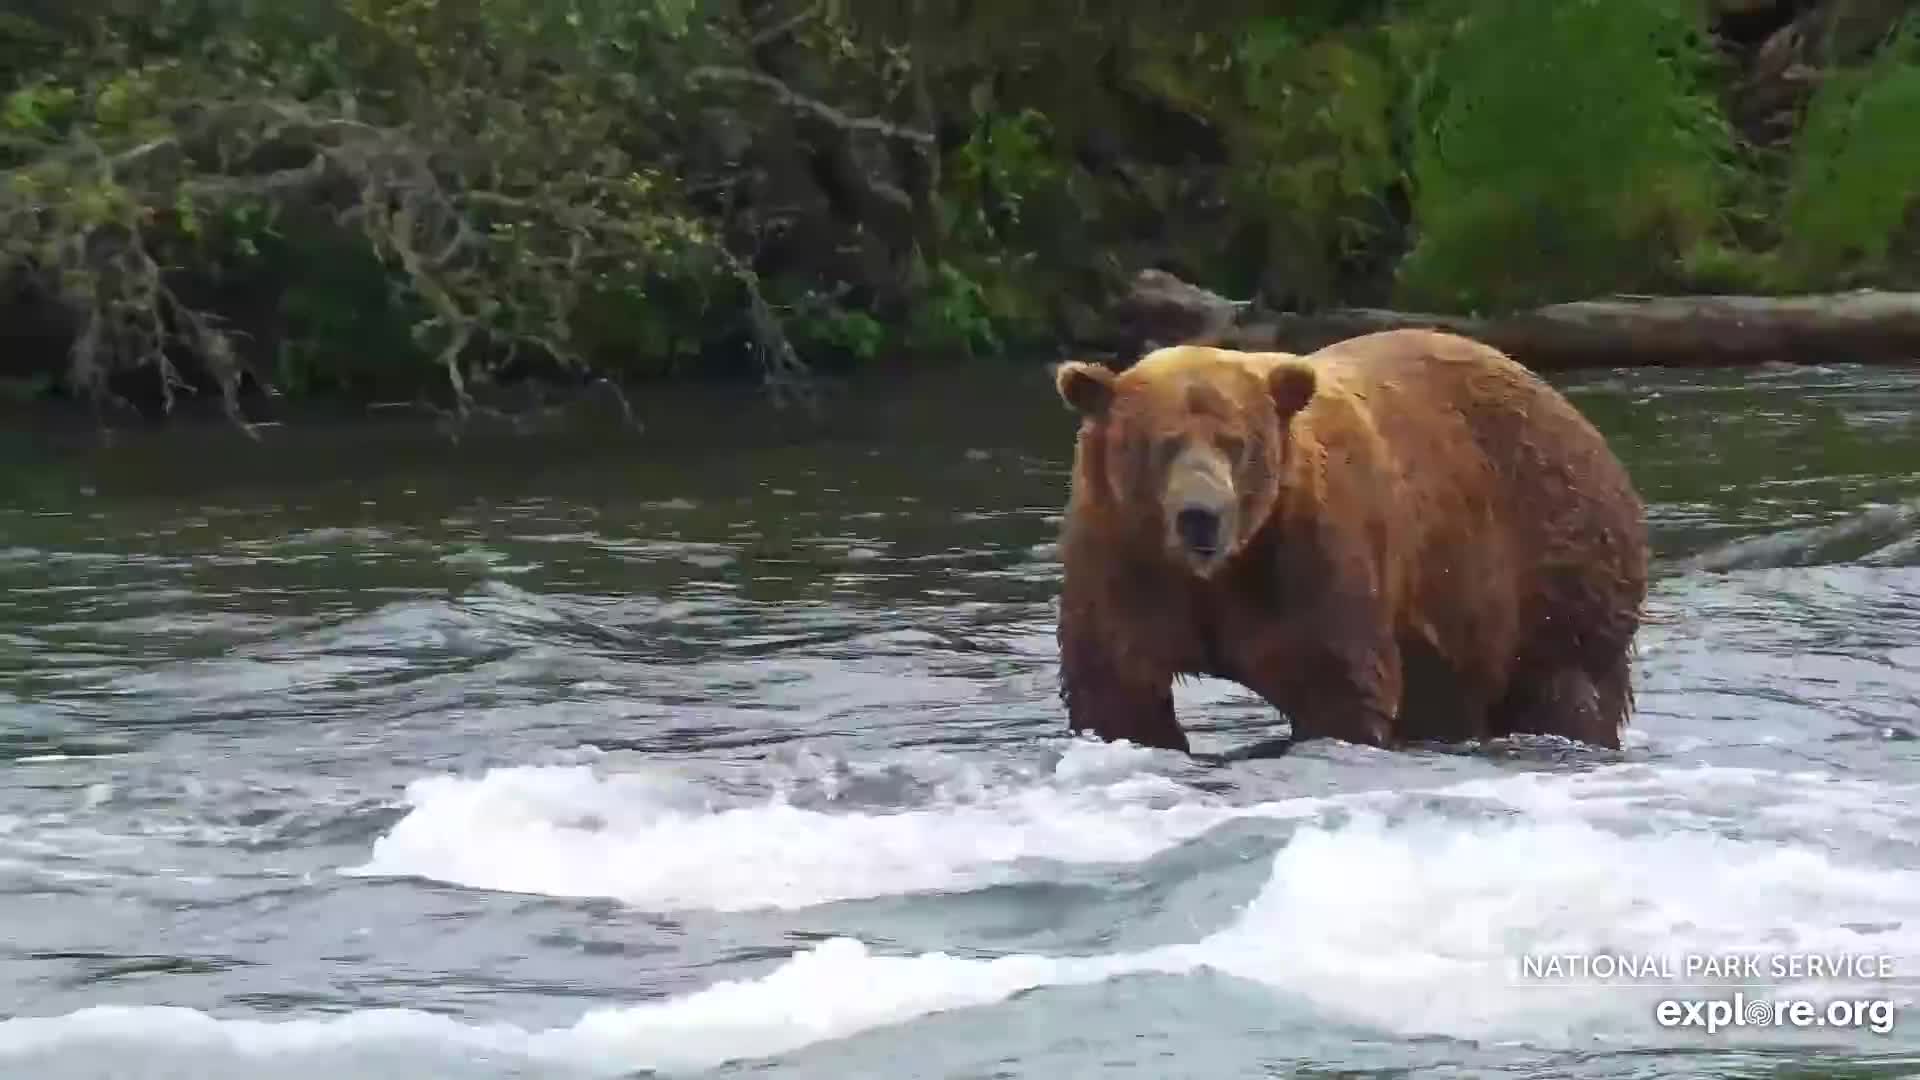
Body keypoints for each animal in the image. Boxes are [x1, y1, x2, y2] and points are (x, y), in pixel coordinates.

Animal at [1050, 327, 1649, 756]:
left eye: (1236, 443)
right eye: (1162, 442)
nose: (1201, 517)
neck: (1223, 572)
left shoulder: (1311, 556)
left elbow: (1336, 682)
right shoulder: (1120, 555)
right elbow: (1117, 685)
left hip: (1555, 557)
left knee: (1567, 685)